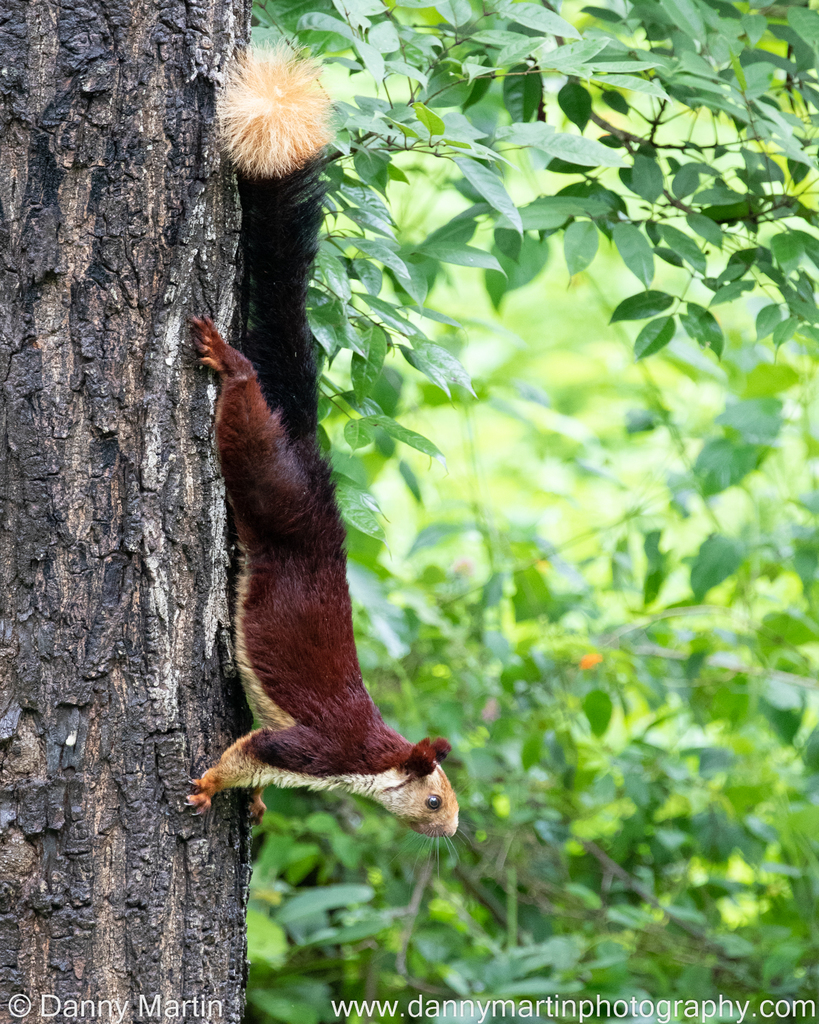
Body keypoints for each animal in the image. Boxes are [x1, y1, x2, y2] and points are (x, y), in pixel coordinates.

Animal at [187, 52, 459, 838]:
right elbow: (249, 751)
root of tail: (307, 450)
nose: (451, 831)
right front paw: (211, 783)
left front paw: (253, 802)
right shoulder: (320, 748)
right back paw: (231, 364)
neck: (373, 759)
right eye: (435, 798)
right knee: (247, 424)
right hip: (267, 477)